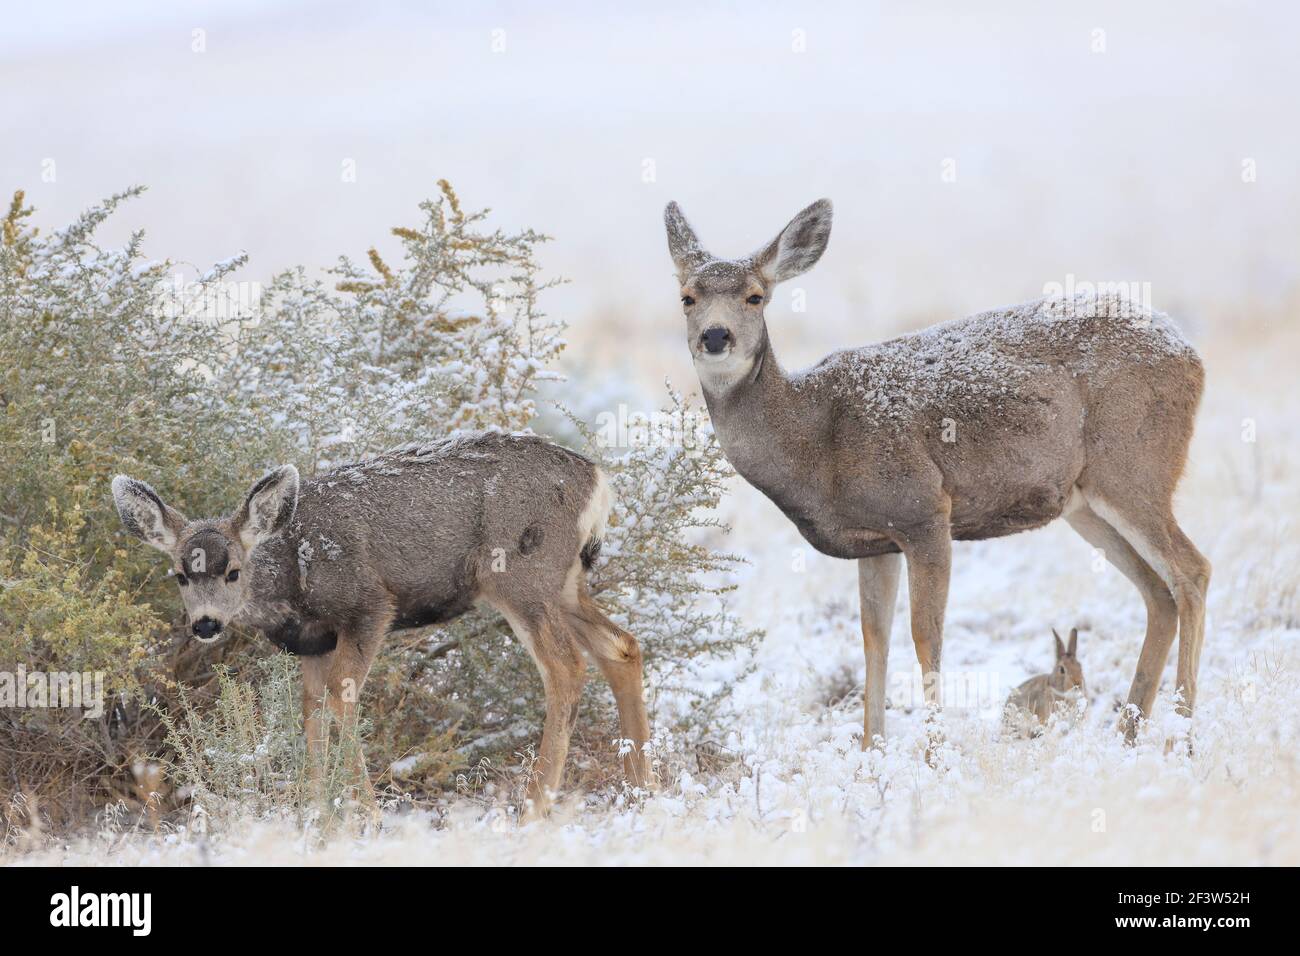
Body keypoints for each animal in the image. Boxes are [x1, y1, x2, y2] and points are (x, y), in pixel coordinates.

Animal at [112, 432, 651, 817]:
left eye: (233, 572)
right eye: (181, 574)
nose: (205, 624)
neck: (294, 570)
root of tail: (598, 481)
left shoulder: (368, 607)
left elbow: (341, 700)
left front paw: (364, 814)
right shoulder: (312, 643)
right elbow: (312, 712)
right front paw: (316, 811)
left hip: (522, 576)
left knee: (565, 666)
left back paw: (536, 808)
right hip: (566, 583)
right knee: (622, 646)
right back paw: (641, 789)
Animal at [663, 198, 1210, 750]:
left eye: (755, 296)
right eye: (687, 297)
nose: (716, 335)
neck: (816, 439)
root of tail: (1190, 354)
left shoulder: (924, 510)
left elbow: (926, 636)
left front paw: (932, 753)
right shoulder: (875, 541)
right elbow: (873, 640)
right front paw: (871, 749)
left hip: (1134, 467)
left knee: (1192, 570)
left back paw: (1183, 734)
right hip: (1085, 503)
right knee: (1157, 592)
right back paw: (1128, 733)